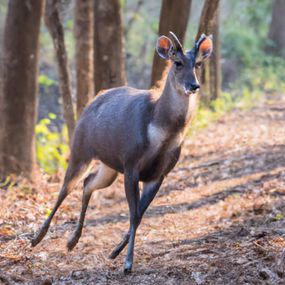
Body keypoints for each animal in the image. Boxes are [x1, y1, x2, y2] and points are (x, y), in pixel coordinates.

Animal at [32, 32, 212, 272]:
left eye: (198, 64)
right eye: (177, 63)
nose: (194, 85)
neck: (160, 131)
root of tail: (92, 101)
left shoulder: (159, 174)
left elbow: (140, 215)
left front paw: (116, 252)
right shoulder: (131, 163)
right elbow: (134, 214)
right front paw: (127, 262)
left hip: (109, 167)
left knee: (88, 183)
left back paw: (72, 241)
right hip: (80, 149)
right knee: (65, 189)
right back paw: (37, 238)